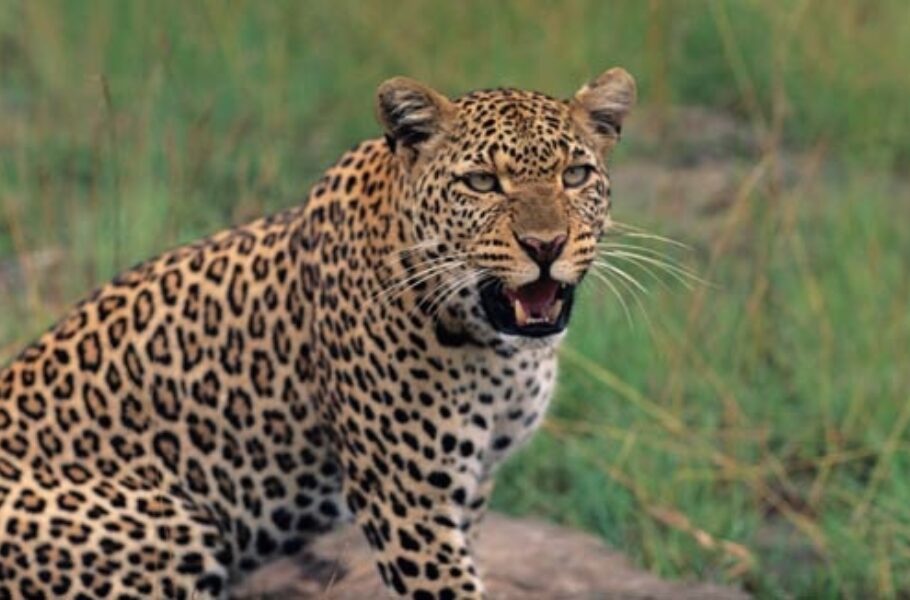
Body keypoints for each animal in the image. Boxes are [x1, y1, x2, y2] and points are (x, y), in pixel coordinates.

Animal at [0, 67, 636, 599]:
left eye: (575, 175)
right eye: (481, 182)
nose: (545, 245)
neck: (500, 353)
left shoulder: (472, 487)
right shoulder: (408, 499)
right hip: (167, 532)